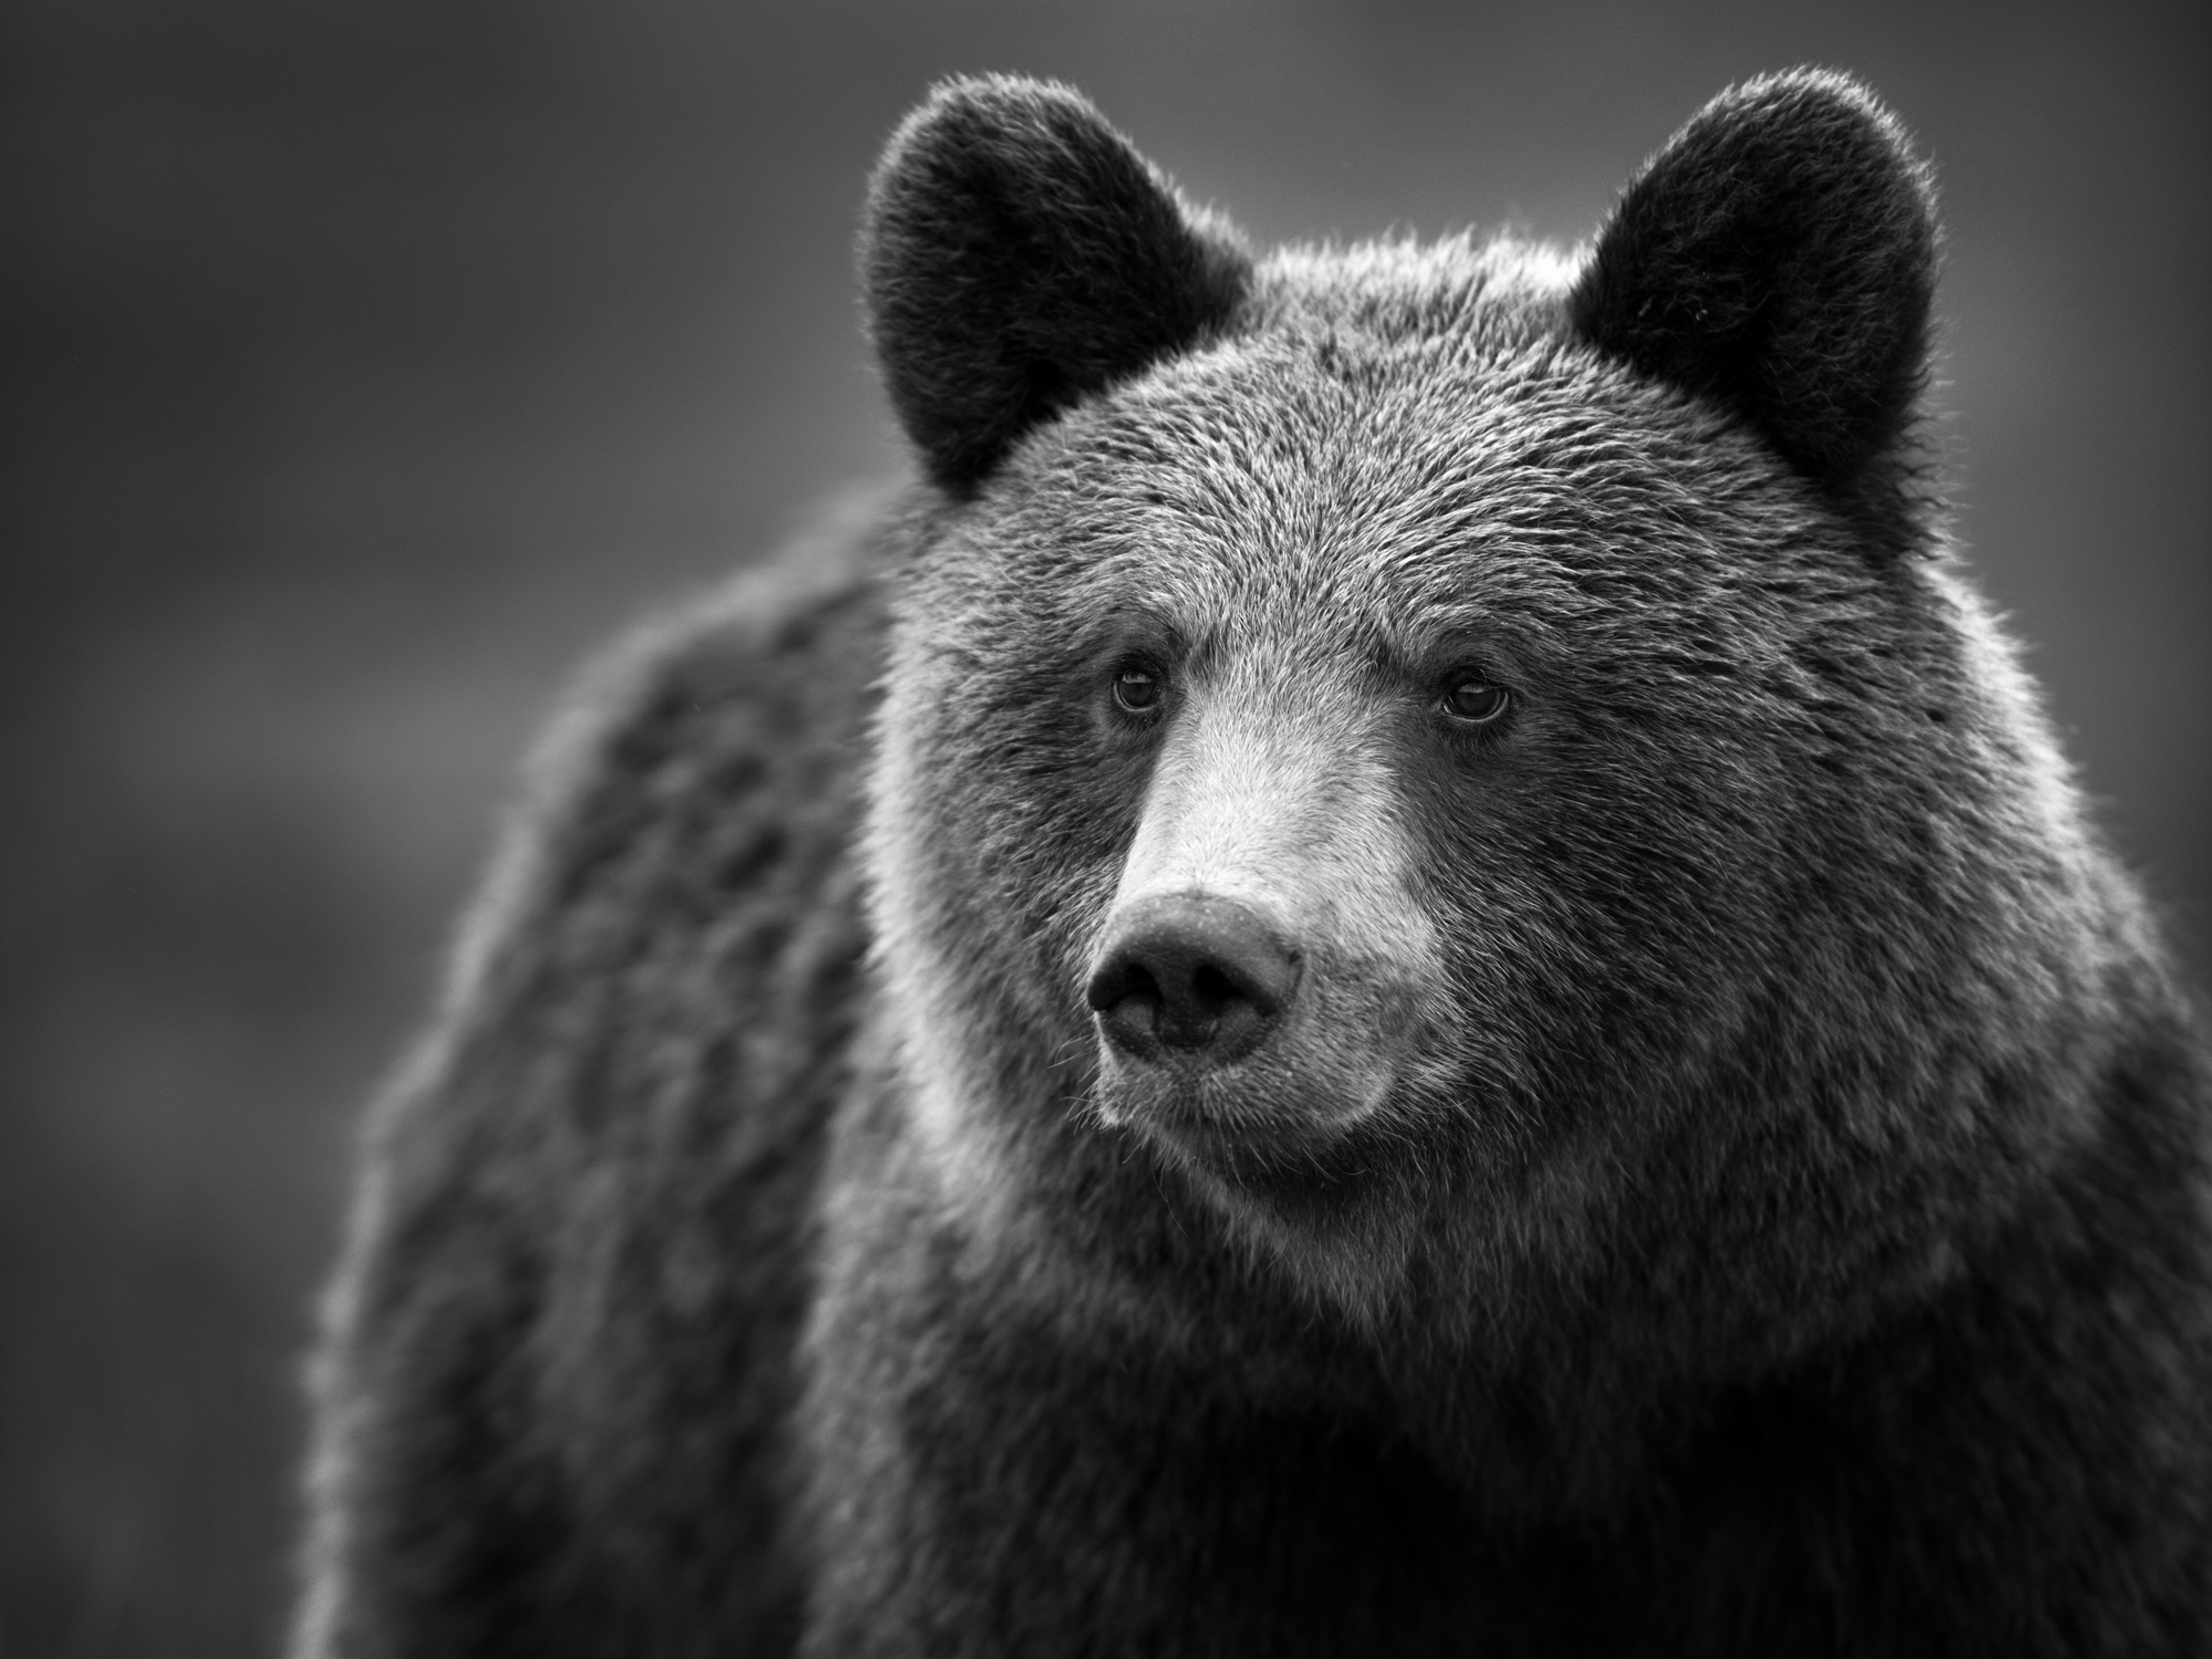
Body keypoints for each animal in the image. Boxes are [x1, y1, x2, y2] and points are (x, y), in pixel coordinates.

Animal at [294, 68, 2212, 1656]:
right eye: (1137, 665)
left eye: (1470, 674)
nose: (1192, 966)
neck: (1518, 1347)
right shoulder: (1107, 1417)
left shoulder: (1971, 1363)